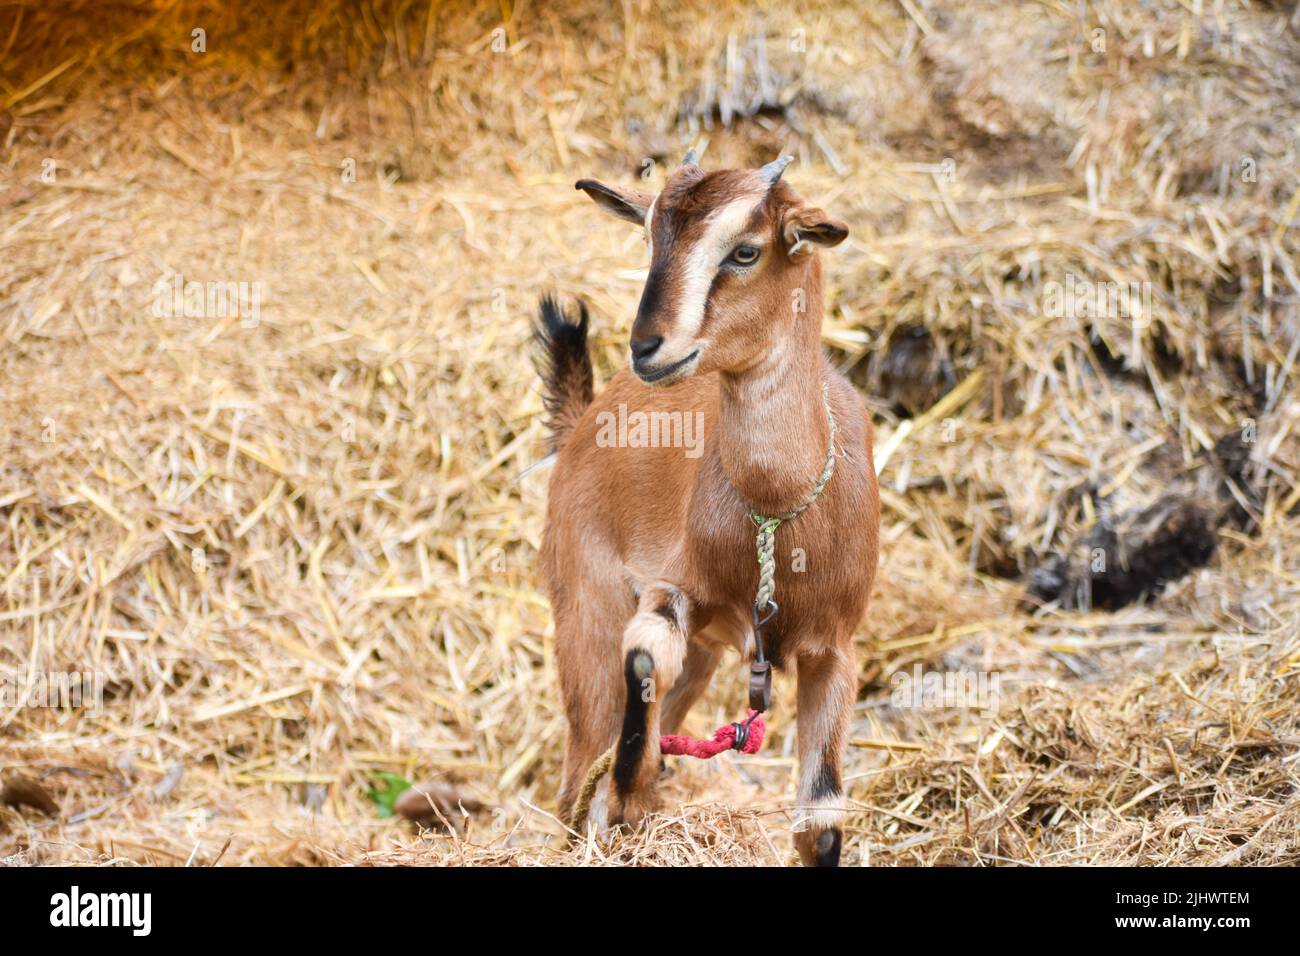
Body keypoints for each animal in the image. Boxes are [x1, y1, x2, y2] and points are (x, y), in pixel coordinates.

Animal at [534, 152, 880, 866]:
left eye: (746, 250)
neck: (777, 513)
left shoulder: (833, 649)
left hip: (702, 656)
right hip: (586, 611)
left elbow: (821, 818)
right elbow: (643, 654)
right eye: (648, 239)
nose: (648, 346)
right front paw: (630, 792)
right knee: (577, 775)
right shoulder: (671, 590)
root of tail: (582, 420)